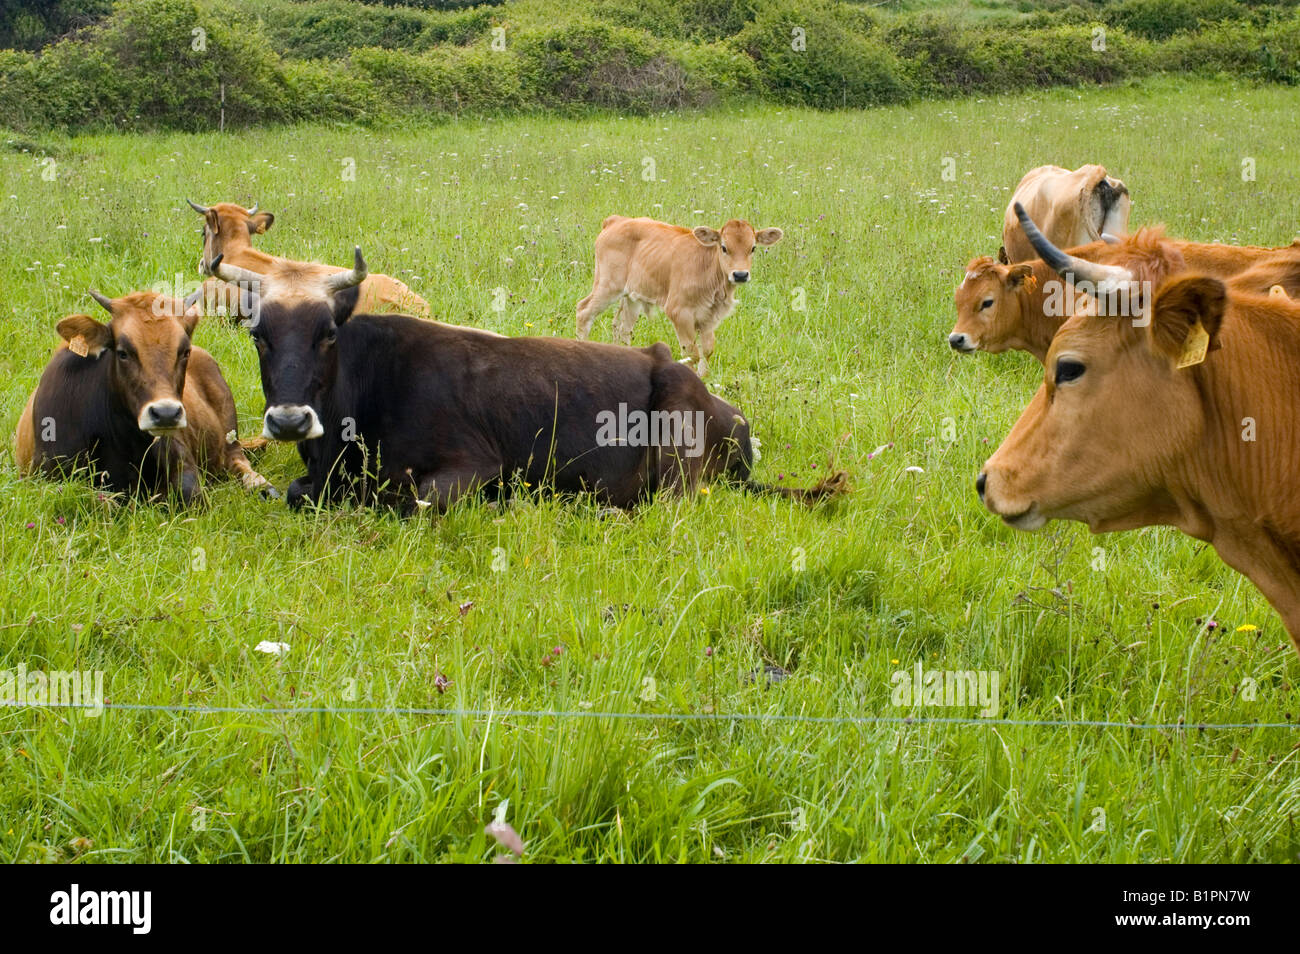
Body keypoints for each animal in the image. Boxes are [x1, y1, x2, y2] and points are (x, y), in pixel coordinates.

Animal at [217, 250, 844, 513]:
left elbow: (411, 502)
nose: (289, 420)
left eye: (327, 333)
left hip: (674, 453)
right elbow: (294, 493)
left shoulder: (475, 465)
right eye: (258, 335)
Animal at [575, 216, 784, 378]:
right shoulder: (679, 312)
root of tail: (617, 220)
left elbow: (707, 349)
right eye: (724, 247)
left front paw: (704, 377)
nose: (740, 274)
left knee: (623, 329)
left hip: (631, 297)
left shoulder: (710, 317)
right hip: (608, 285)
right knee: (584, 311)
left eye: (753, 248)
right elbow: (692, 353)